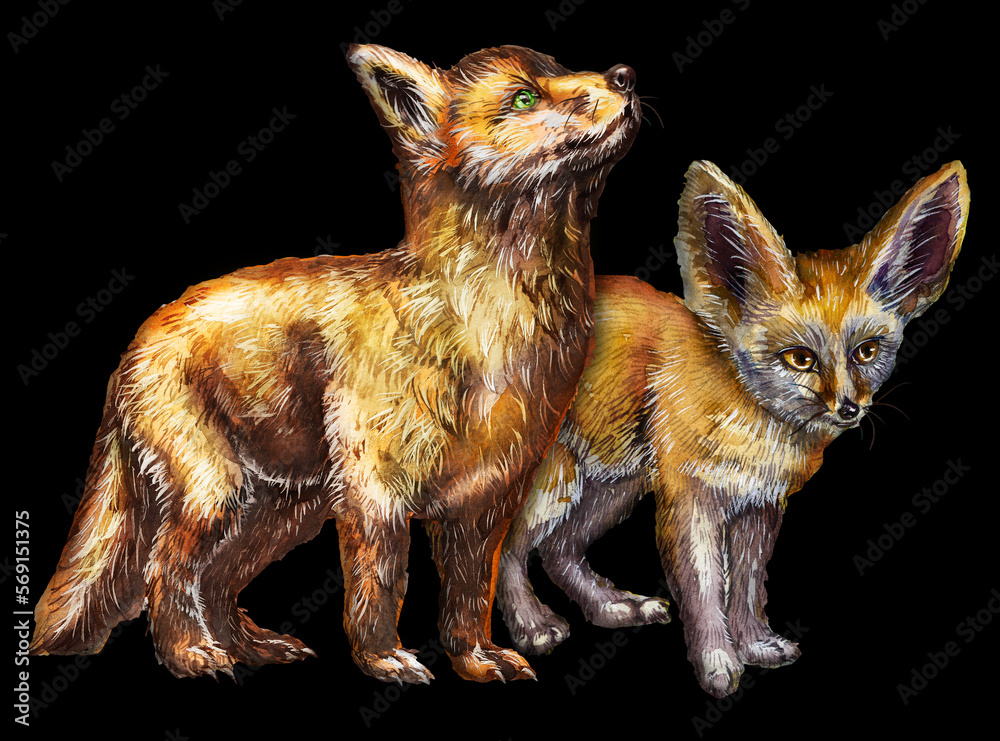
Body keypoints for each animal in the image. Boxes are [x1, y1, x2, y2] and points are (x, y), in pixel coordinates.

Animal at [30, 43, 641, 684]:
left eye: (560, 69)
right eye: (524, 97)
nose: (625, 76)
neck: (487, 329)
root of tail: (139, 338)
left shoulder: (485, 499)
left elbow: (469, 598)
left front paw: (475, 660)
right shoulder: (376, 493)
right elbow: (380, 586)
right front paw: (382, 659)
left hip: (283, 512)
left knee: (217, 582)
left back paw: (253, 647)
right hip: (215, 495)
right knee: (166, 570)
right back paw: (190, 654)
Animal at [497, 159, 970, 696]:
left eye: (866, 352)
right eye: (800, 359)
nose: (848, 408)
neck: (753, 432)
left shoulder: (758, 506)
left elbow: (745, 586)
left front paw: (756, 646)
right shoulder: (689, 501)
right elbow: (704, 589)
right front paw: (717, 663)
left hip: (614, 487)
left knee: (559, 549)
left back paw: (613, 607)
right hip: (556, 485)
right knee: (508, 550)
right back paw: (532, 626)